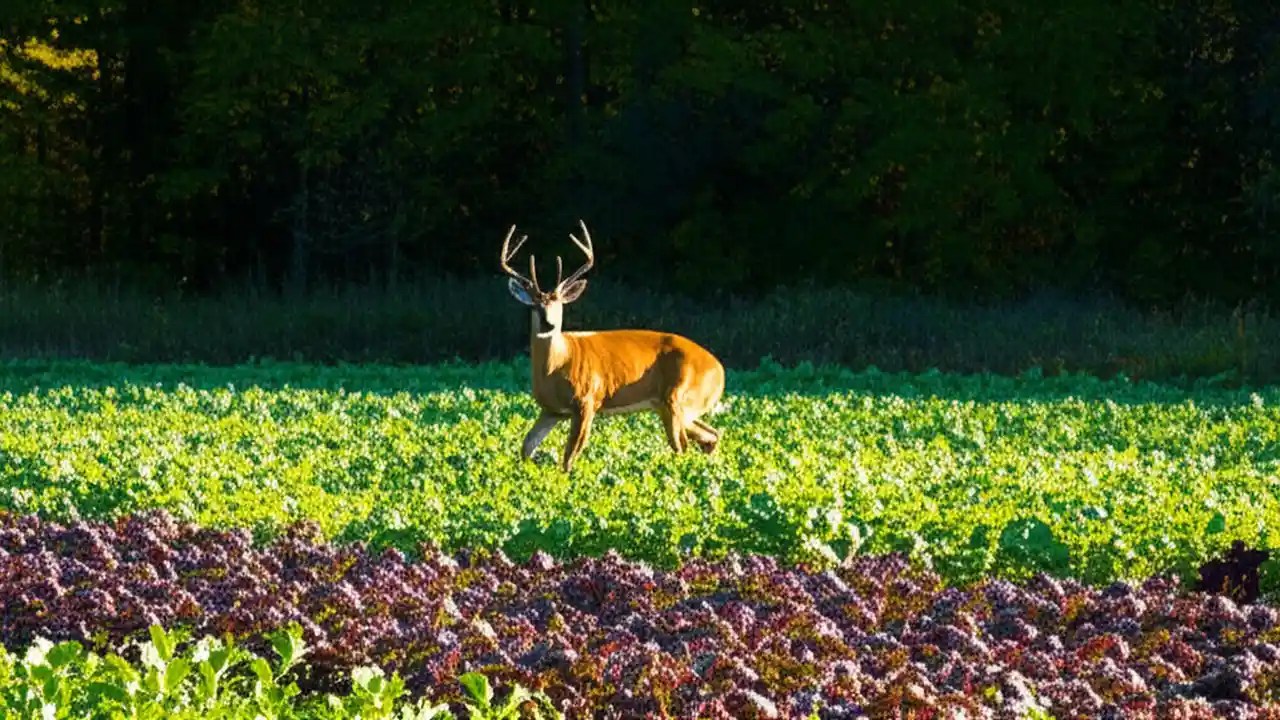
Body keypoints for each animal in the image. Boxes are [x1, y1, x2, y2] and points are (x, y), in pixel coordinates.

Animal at [501, 220, 726, 472]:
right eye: (534, 306)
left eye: (559, 305)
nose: (548, 323)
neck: (556, 365)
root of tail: (719, 370)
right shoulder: (552, 410)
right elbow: (527, 447)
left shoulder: (586, 401)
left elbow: (569, 457)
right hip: (673, 405)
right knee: (711, 435)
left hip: (677, 397)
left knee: (682, 445)